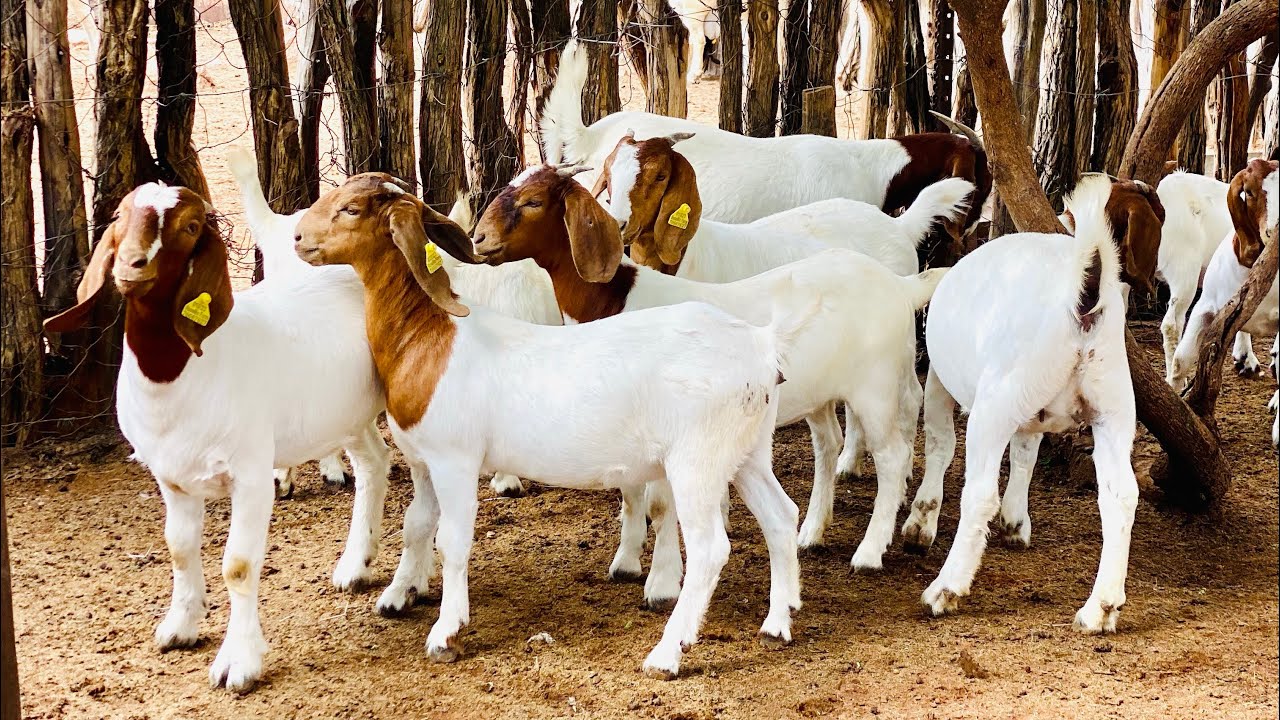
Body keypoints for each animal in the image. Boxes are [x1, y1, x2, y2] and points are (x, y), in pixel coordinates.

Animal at [43, 184, 388, 693]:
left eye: (189, 227)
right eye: (119, 215)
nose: (130, 265)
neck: (191, 370)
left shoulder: (251, 476)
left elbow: (239, 566)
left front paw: (238, 661)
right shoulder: (172, 479)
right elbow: (179, 549)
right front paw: (180, 626)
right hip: (344, 414)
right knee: (373, 463)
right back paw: (355, 564)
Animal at [294, 169, 809, 679]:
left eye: (351, 209)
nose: (298, 237)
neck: (430, 336)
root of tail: (760, 345)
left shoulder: (455, 460)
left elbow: (452, 541)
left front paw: (446, 632)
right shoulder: (423, 461)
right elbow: (416, 525)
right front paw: (398, 597)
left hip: (697, 460)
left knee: (709, 548)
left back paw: (667, 654)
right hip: (746, 451)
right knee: (781, 516)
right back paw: (777, 623)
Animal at [472, 163, 947, 580]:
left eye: (533, 202)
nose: (478, 238)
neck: (617, 300)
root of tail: (898, 286)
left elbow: (654, 501)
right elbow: (629, 494)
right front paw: (626, 561)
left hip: (876, 384)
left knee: (892, 454)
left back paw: (870, 551)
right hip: (828, 388)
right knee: (830, 443)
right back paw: (812, 532)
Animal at [904, 174, 1140, 633]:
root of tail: (1083, 299)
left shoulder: (940, 380)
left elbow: (940, 443)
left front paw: (920, 523)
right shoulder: (1034, 413)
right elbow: (1027, 451)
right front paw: (1016, 522)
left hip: (998, 398)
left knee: (979, 493)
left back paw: (946, 589)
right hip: (1113, 404)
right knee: (1120, 495)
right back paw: (1100, 607)